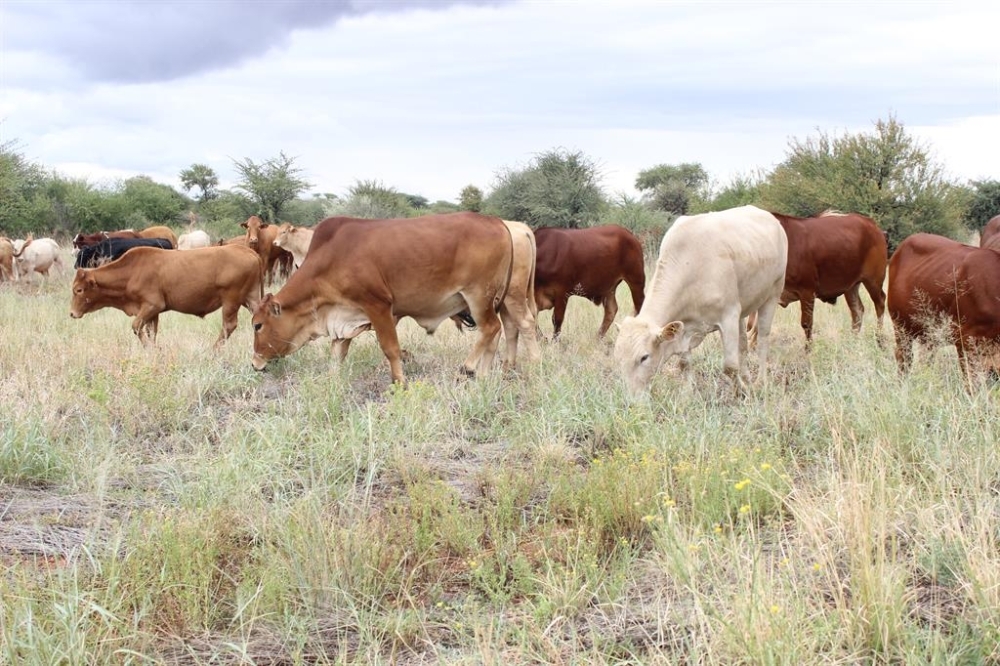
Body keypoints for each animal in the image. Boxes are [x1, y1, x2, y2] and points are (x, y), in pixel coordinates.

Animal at [70, 244, 264, 347]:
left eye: (79, 290)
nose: (72, 313)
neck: (132, 272)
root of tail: (247, 250)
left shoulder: (152, 305)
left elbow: (136, 327)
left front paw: (149, 348)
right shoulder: (152, 313)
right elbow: (151, 332)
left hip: (231, 300)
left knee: (228, 326)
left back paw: (214, 350)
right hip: (250, 299)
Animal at [250, 212, 516, 384]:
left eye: (257, 325)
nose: (254, 364)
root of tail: (497, 222)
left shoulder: (378, 305)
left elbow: (390, 349)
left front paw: (400, 383)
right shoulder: (343, 316)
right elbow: (337, 353)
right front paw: (332, 380)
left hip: (478, 295)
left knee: (491, 328)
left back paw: (468, 368)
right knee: (494, 334)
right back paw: (483, 376)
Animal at [614, 205, 788, 398]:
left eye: (644, 357)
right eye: (618, 358)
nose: (632, 399)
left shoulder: (728, 316)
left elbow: (729, 366)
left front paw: (741, 390)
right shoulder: (685, 328)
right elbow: (684, 364)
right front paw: (687, 394)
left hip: (772, 294)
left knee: (763, 340)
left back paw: (760, 382)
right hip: (742, 309)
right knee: (743, 345)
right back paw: (748, 377)